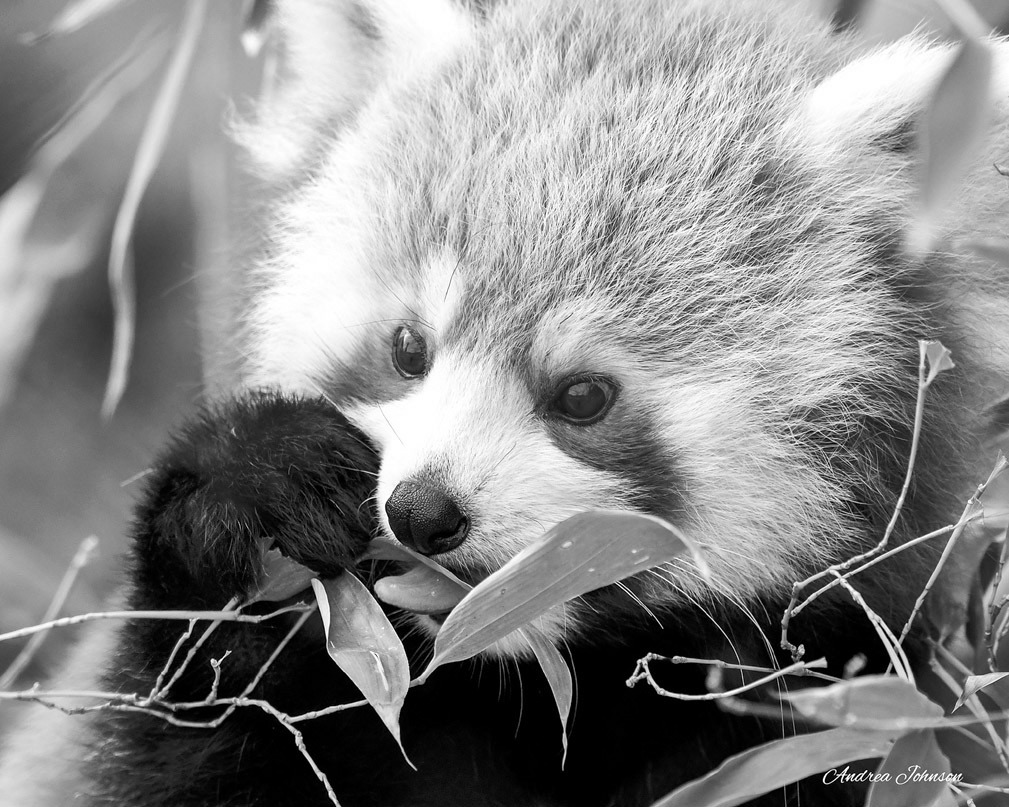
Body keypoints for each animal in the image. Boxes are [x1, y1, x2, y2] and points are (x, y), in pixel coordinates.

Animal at [3, 0, 1009, 804]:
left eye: (582, 395)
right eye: (407, 348)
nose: (421, 511)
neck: (519, 689)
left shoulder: (836, 712)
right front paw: (256, 491)